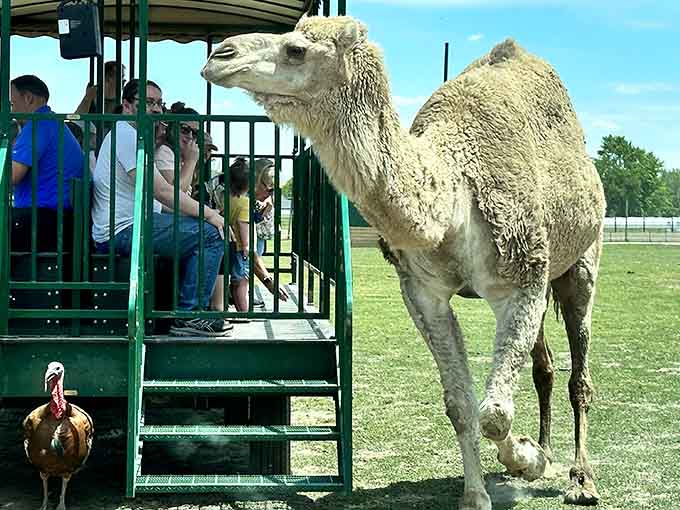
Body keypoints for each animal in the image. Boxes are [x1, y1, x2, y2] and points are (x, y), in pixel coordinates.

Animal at [202, 15, 606, 510]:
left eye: (296, 49)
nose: (220, 55)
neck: (452, 193)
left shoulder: (520, 279)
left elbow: (494, 412)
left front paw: (526, 461)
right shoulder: (422, 291)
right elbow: (461, 405)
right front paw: (480, 492)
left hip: (582, 258)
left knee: (578, 372)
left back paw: (580, 479)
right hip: (547, 275)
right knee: (544, 367)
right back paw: (547, 450)